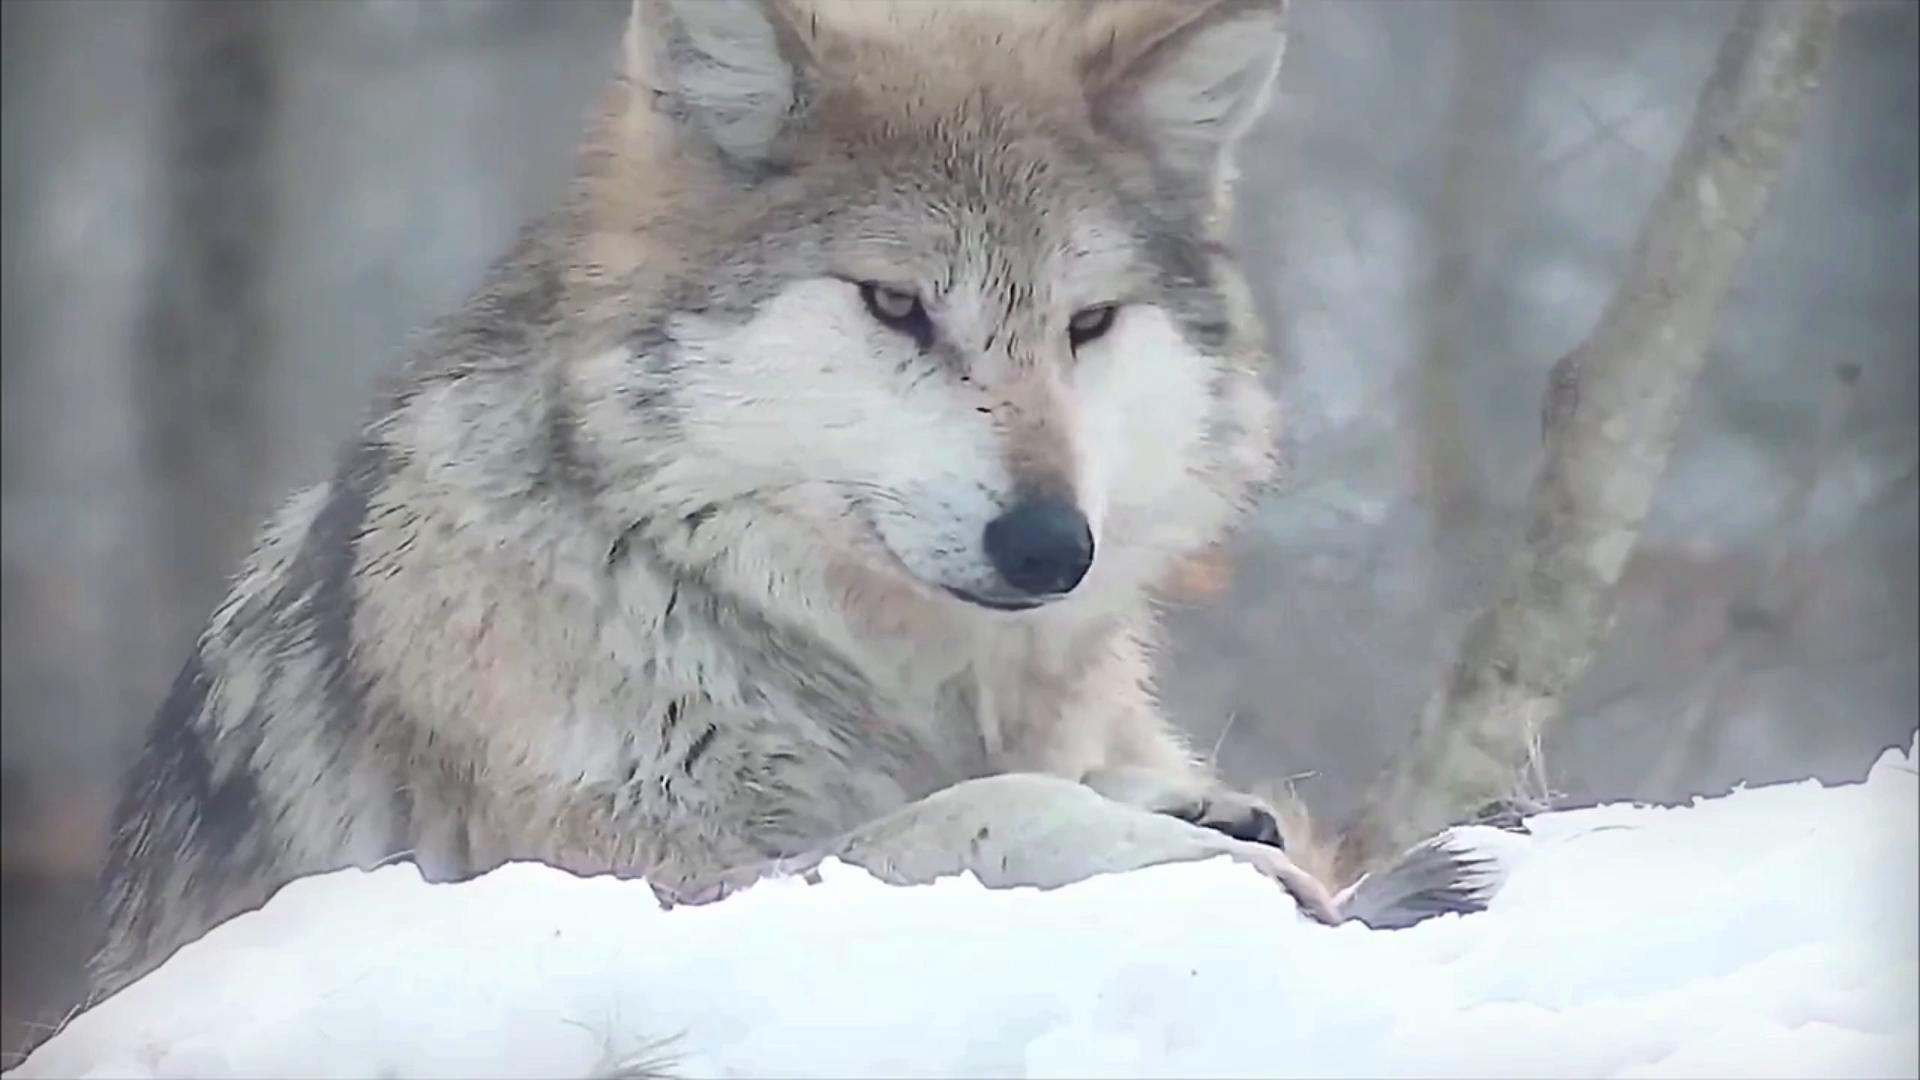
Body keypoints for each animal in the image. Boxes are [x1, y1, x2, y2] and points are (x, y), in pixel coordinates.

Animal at [90, 0, 1489, 1003]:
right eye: (895, 304)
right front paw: (1210, 852)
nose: (1051, 546)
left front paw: (1198, 811)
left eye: (1088, 323)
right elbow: (974, 812)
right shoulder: (635, 883)